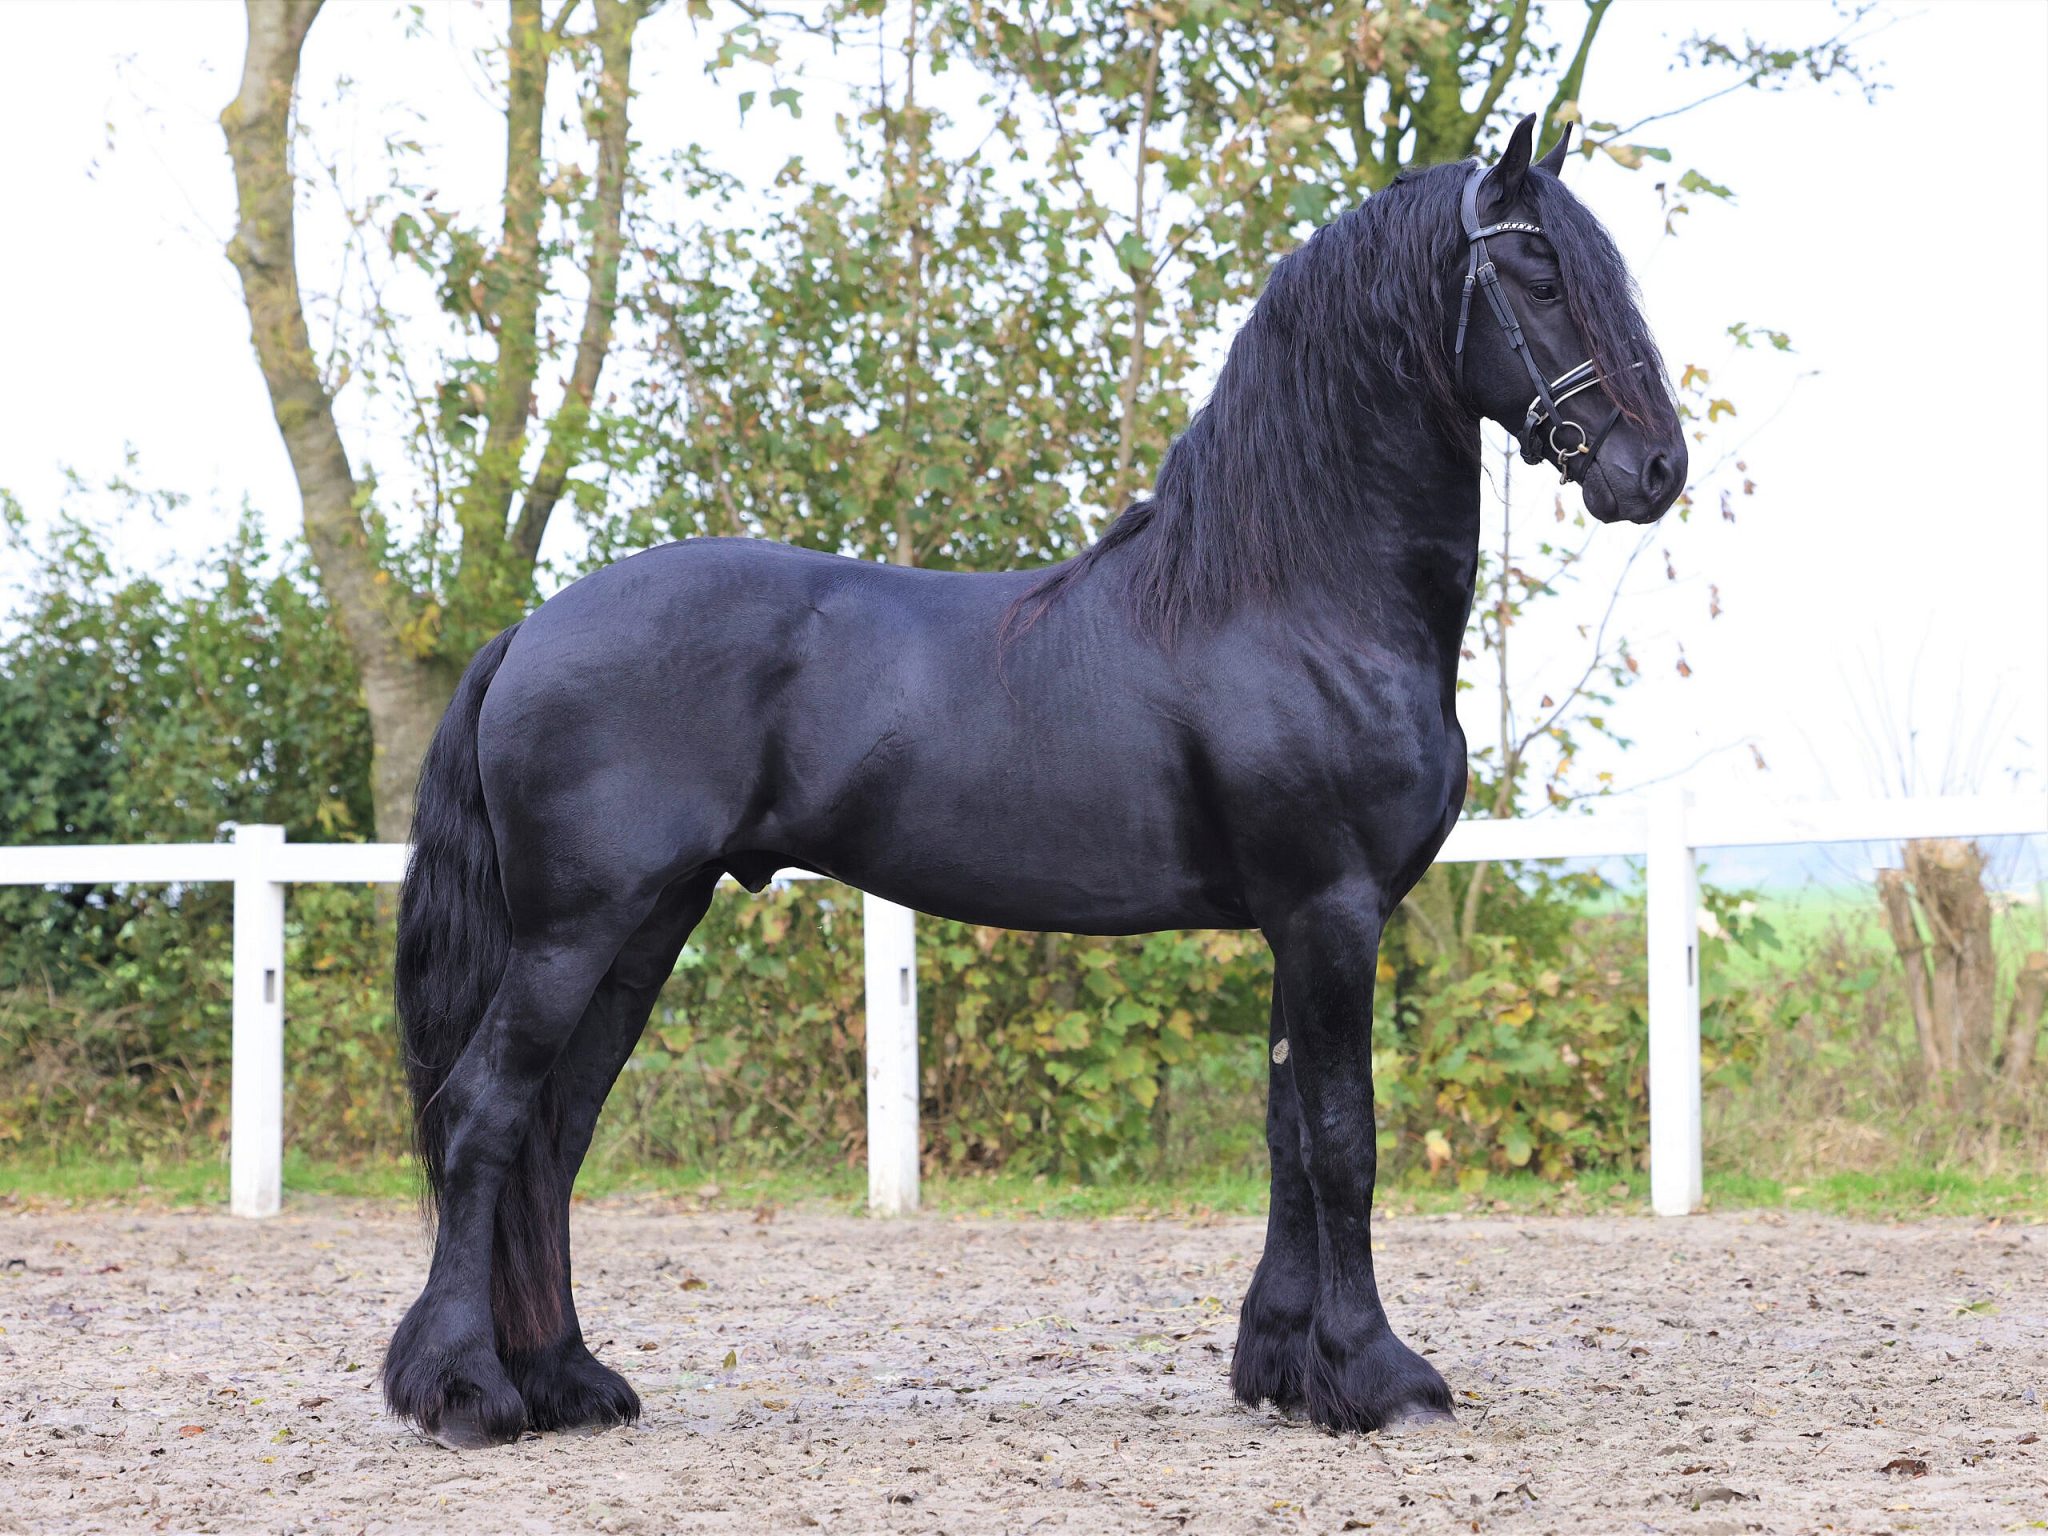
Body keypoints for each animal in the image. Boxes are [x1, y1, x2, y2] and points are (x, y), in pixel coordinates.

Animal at [382, 113, 1687, 1449]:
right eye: (1539, 277)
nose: (1653, 469)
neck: (1289, 595)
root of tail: (528, 632)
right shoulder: (1331, 908)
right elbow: (1342, 1140)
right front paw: (1378, 1373)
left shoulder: (1300, 918)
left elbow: (1284, 1135)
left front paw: (1285, 1365)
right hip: (572, 933)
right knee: (486, 1114)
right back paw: (467, 1390)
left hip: (645, 926)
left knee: (555, 1131)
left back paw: (567, 1380)